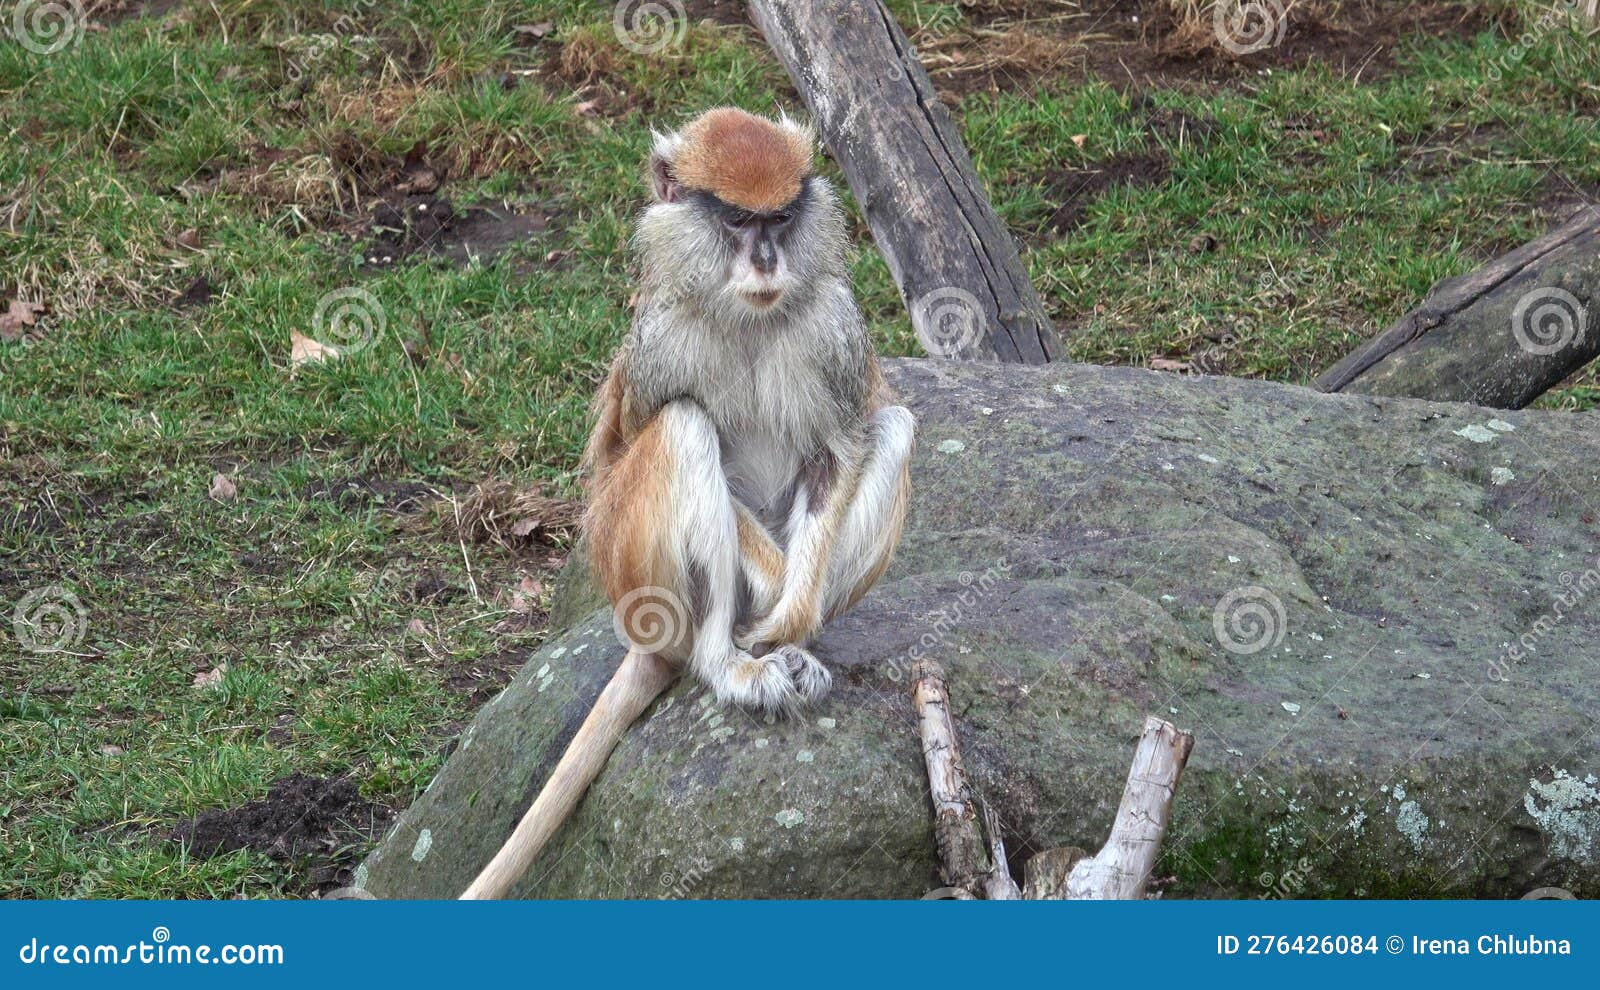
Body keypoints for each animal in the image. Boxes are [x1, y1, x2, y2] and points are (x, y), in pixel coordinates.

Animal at [460, 108, 914, 899]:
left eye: (781, 217)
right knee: (682, 428)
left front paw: (795, 612)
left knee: (896, 427)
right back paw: (728, 662)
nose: (766, 261)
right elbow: (658, 423)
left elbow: (842, 447)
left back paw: (789, 649)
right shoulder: (662, 342)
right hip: (635, 568)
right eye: (735, 219)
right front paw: (776, 601)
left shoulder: (833, 328)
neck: (744, 313)